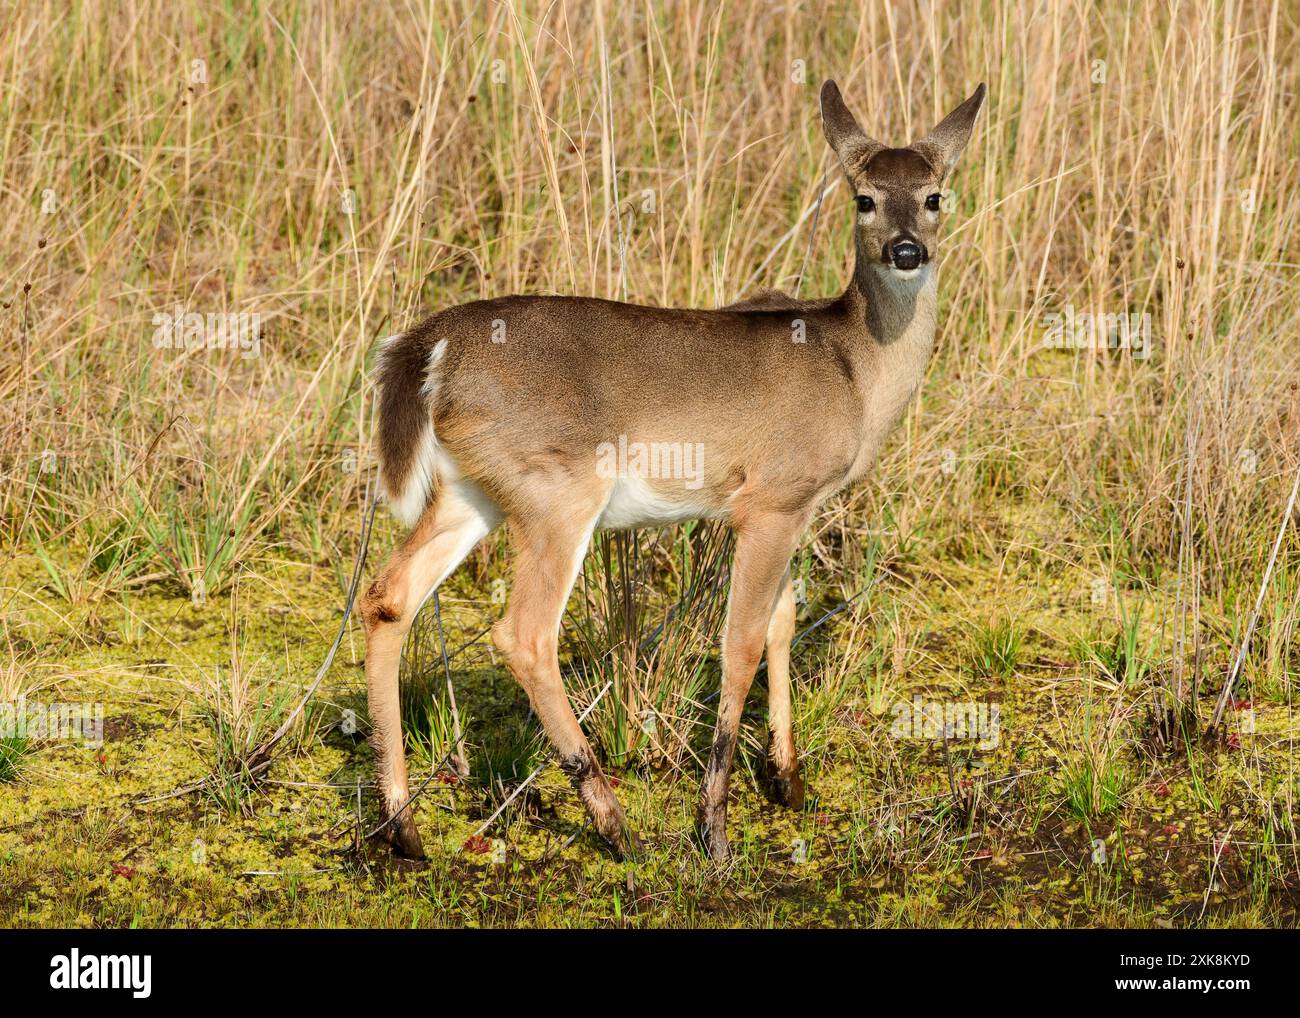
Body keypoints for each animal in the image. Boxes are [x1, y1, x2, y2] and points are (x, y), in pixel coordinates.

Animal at [361, 79, 986, 861]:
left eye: (935, 195)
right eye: (863, 198)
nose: (907, 250)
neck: (855, 371)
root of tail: (428, 347)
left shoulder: (798, 507)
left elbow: (782, 621)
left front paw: (787, 780)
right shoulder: (771, 499)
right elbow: (740, 641)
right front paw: (714, 826)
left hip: (474, 487)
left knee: (389, 596)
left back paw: (404, 828)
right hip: (558, 487)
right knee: (524, 633)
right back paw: (614, 822)